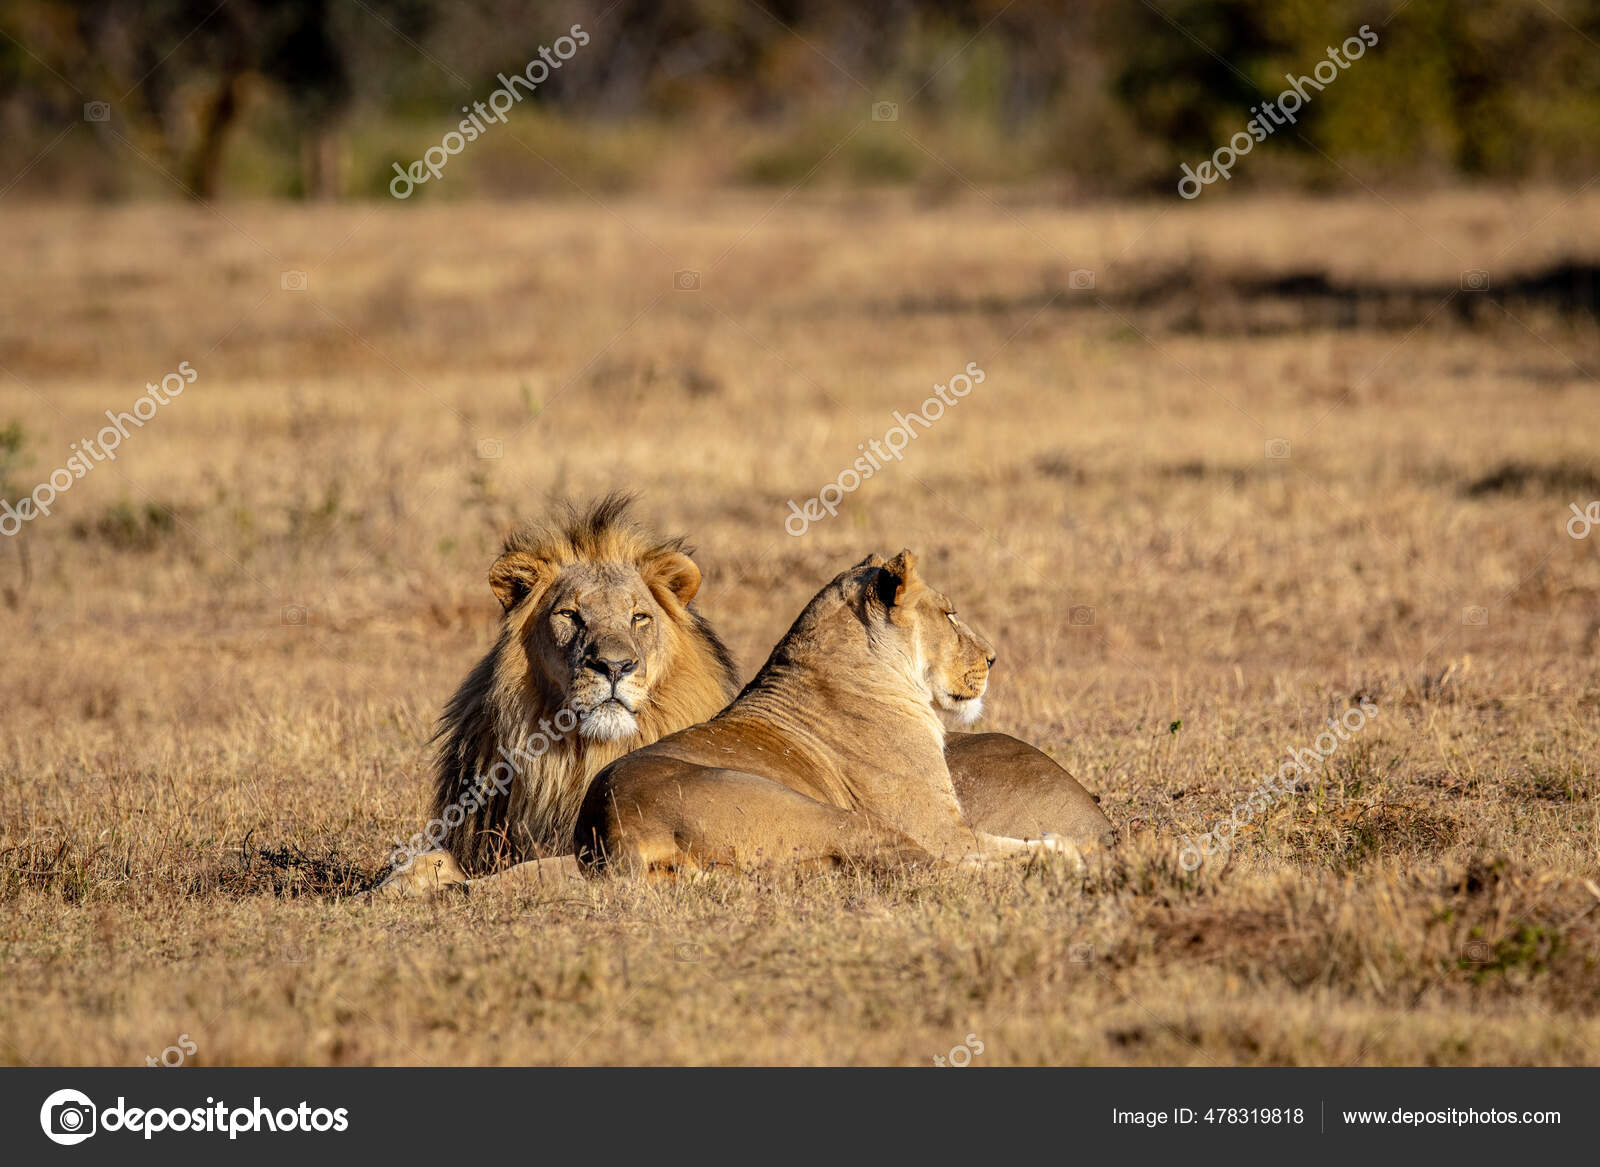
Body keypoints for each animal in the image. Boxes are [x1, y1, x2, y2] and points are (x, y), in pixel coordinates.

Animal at [376, 495, 741, 896]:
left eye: (639, 617)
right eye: (570, 615)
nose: (614, 666)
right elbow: (431, 858)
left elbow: (526, 872)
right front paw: (390, 883)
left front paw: (455, 890)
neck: (586, 756)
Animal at [572, 551, 1080, 876]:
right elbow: (981, 845)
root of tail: (615, 828)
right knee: (931, 867)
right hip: (836, 816)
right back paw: (1059, 857)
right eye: (950, 614)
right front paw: (1060, 844)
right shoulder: (938, 826)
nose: (993, 658)